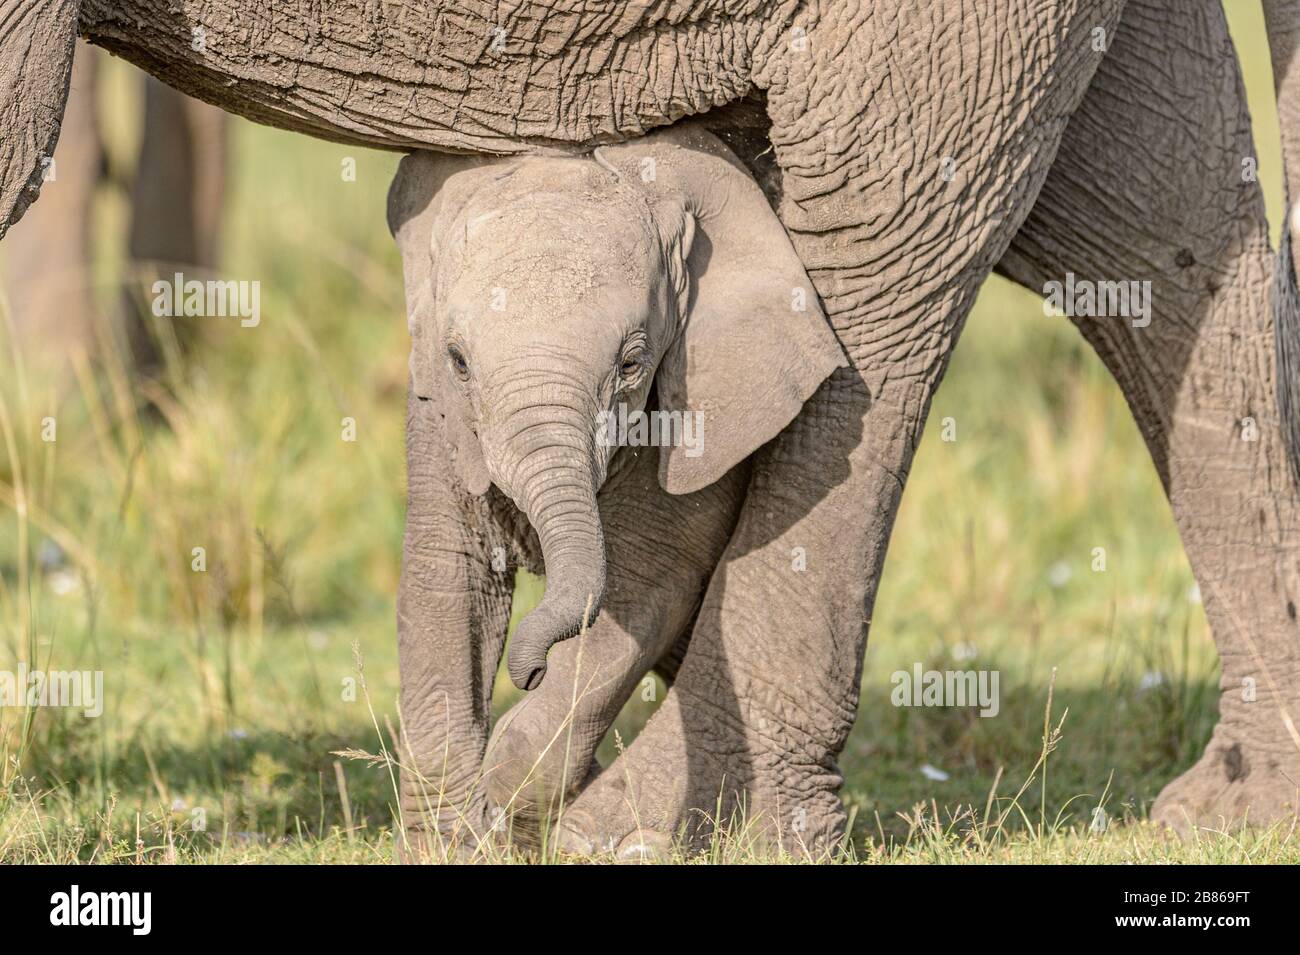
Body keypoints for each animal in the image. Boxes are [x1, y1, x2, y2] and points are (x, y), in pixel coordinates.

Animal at [4, 0, 1299, 856]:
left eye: (632, 361)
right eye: (458, 360)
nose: (530, 655)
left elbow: (643, 564)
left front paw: (510, 792)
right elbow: (441, 572)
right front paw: (455, 823)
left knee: (911, 221)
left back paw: (641, 830)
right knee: (1149, 230)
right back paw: (1232, 807)